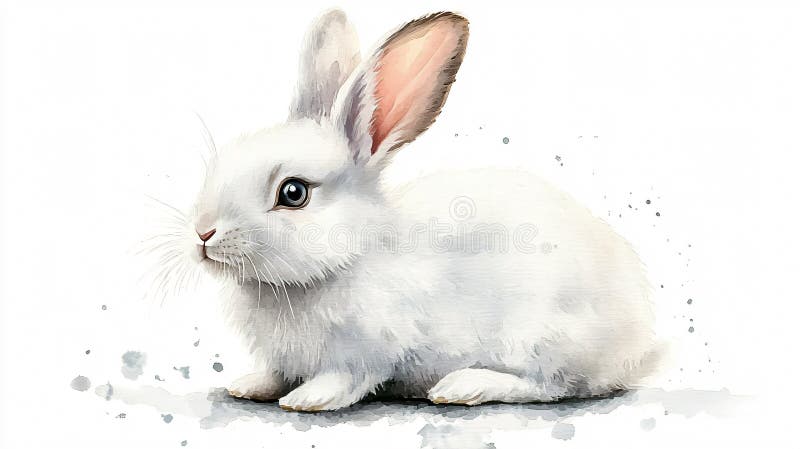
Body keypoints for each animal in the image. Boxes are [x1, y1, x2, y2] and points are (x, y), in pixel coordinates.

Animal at [183, 9, 657, 411]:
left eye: (293, 193)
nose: (204, 234)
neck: (346, 259)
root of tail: (636, 343)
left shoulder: (373, 347)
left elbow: (348, 377)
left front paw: (308, 398)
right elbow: (276, 373)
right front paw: (249, 385)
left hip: (542, 338)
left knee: (550, 386)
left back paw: (464, 385)